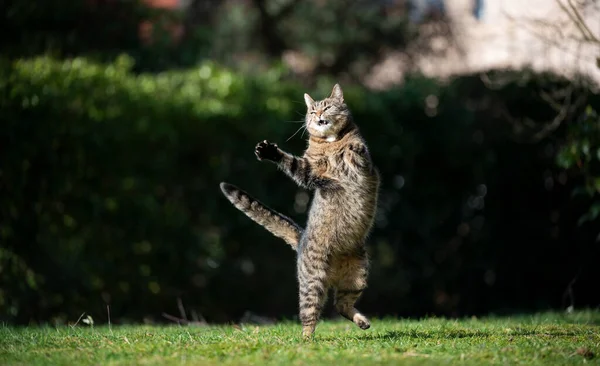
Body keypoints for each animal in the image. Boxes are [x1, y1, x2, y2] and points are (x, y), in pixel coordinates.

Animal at [220, 84, 380, 338]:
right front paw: (269, 152)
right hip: (313, 283)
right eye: (312, 110)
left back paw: (362, 322)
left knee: (341, 304)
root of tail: (302, 235)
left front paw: (353, 147)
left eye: (326, 107)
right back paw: (307, 340)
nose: (318, 116)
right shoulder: (311, 171)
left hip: (358, 276)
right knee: (310, 315)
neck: (330, 141)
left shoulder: (366, 167)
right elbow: (293, 164)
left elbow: (357, 151)